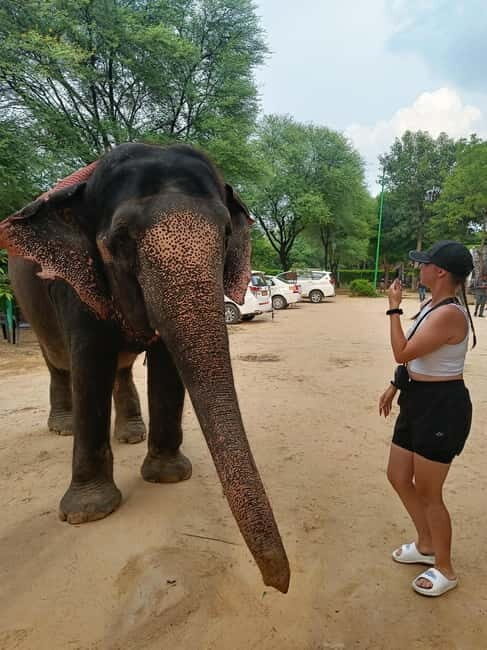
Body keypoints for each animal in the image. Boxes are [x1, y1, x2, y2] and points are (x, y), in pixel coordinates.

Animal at [0, 143, 290, 593]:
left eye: (226, 234)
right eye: (120, 240)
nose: (277, 584)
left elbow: (168, 366)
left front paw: (168, 476)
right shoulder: (74, 279)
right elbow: (90, 363)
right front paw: (87, 513)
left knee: (119, 369)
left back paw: (130, 435)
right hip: (29, 303)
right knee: (59, 362)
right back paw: (62, 426)